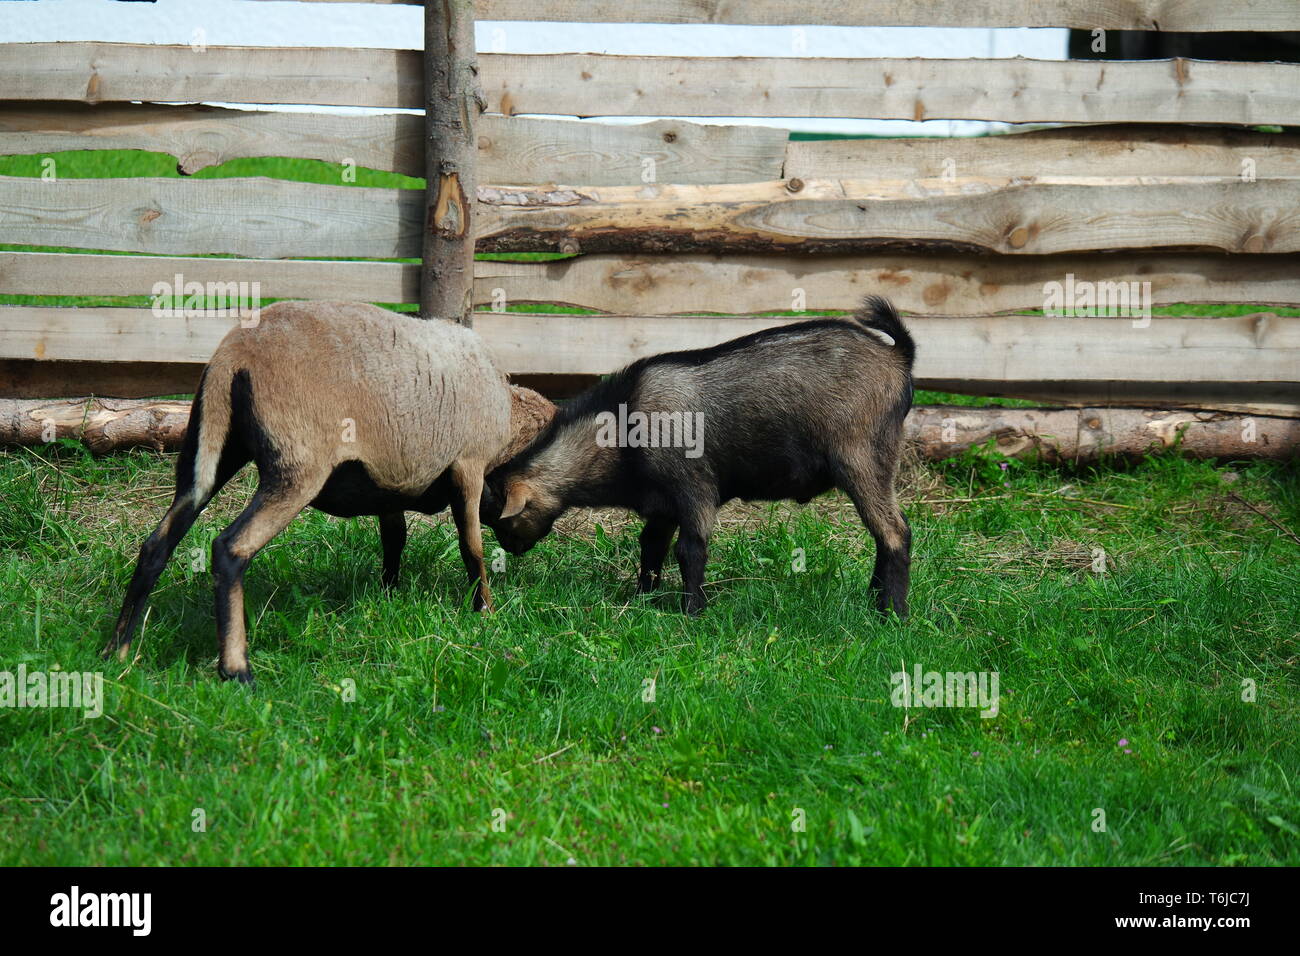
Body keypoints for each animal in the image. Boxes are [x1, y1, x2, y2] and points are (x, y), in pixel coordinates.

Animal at [106, 300, 555, 683]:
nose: (523, 548)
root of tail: (233, 355)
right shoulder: (468, 465)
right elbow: (471, 546)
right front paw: (484, 611)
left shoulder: (388, 482)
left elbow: (395, 538)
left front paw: (388, 593)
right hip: (297, 466)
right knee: (230, 547)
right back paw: (236, 669)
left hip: (211, 447)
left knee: (157, 542)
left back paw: (118, 650)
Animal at [483, 296, 914, 616]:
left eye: (499, 517)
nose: (511, 551)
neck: (622, 428)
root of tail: (898, 357)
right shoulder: (663, 505)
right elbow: (651, 544)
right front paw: (644, 597)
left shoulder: (693, 488)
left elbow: (690, 550)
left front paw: (693, 612)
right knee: (886, 532)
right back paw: (873, 599)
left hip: (862, 457)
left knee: (895, 532)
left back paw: (891, 612)